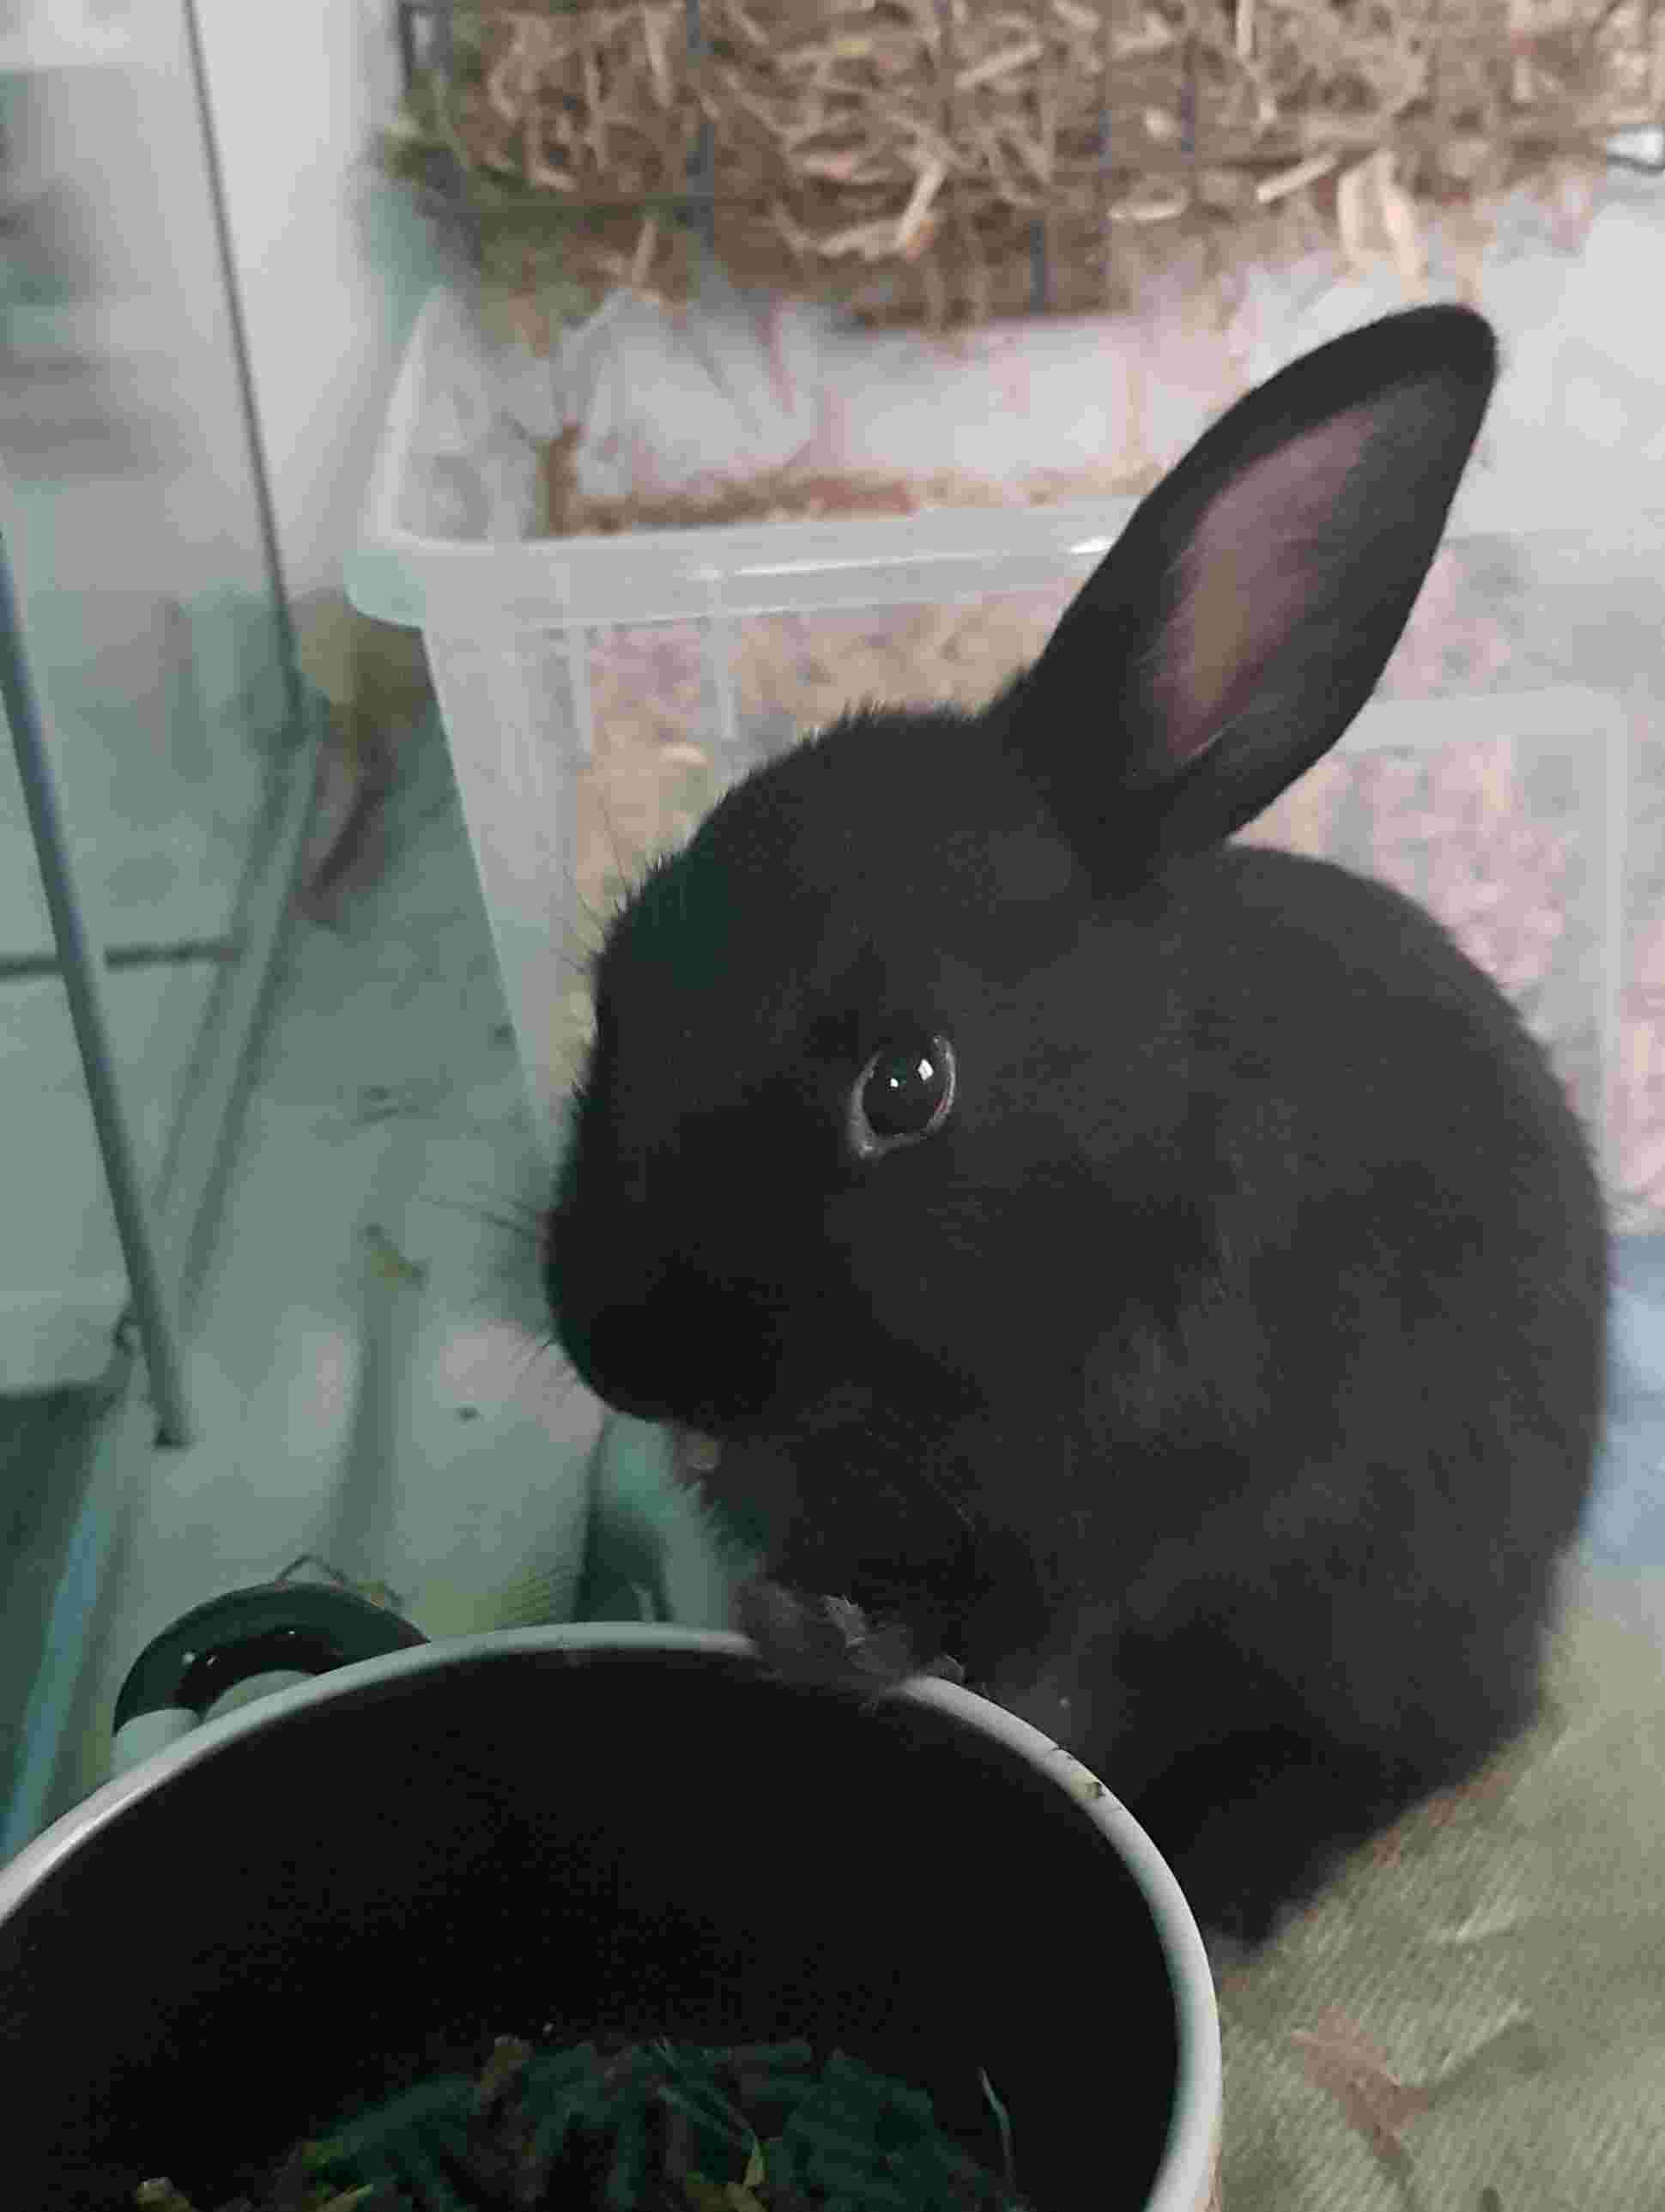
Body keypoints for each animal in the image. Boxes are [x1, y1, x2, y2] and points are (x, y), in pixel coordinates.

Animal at [543, 305, 1609, 1949]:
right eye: (617, 980)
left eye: (907, 1086)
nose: (626, 1356)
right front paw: (792, 1611)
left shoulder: (1170, 1491)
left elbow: (1047, 1614)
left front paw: (851, 1642)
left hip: (1391, 1630)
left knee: (1405, 1752)